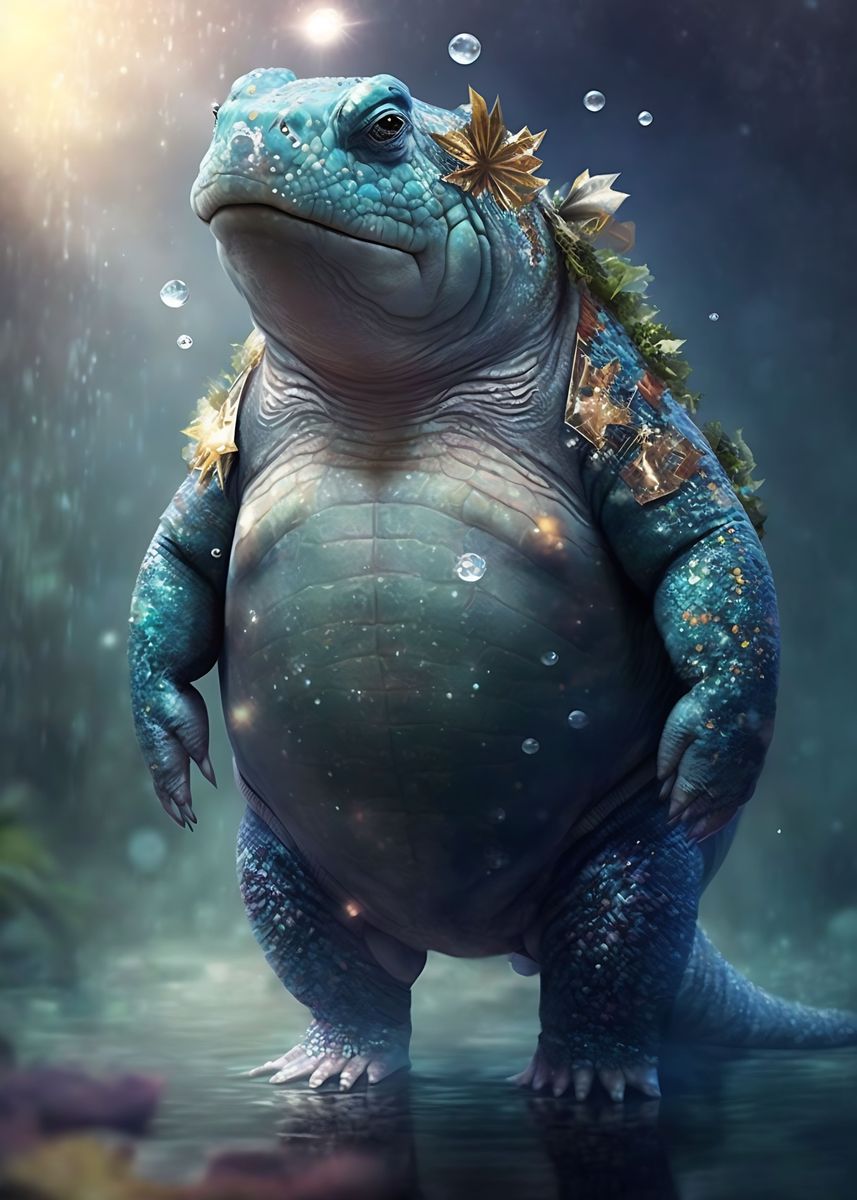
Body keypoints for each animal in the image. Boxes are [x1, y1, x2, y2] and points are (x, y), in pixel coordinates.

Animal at [129, 68, 857, 1101]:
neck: (381, 389)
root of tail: (476, 937)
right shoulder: (229, 440)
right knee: (330, 957)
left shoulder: (625, 402)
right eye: (228, 103)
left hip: (626, 852)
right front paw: (166, 748)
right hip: (281, 856)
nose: (249, 136)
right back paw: (338, 1060)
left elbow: (710, 551)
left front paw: (714, 753)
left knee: (614, 935)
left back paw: (588, 1077)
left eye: (386, 124)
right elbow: (174, 570)